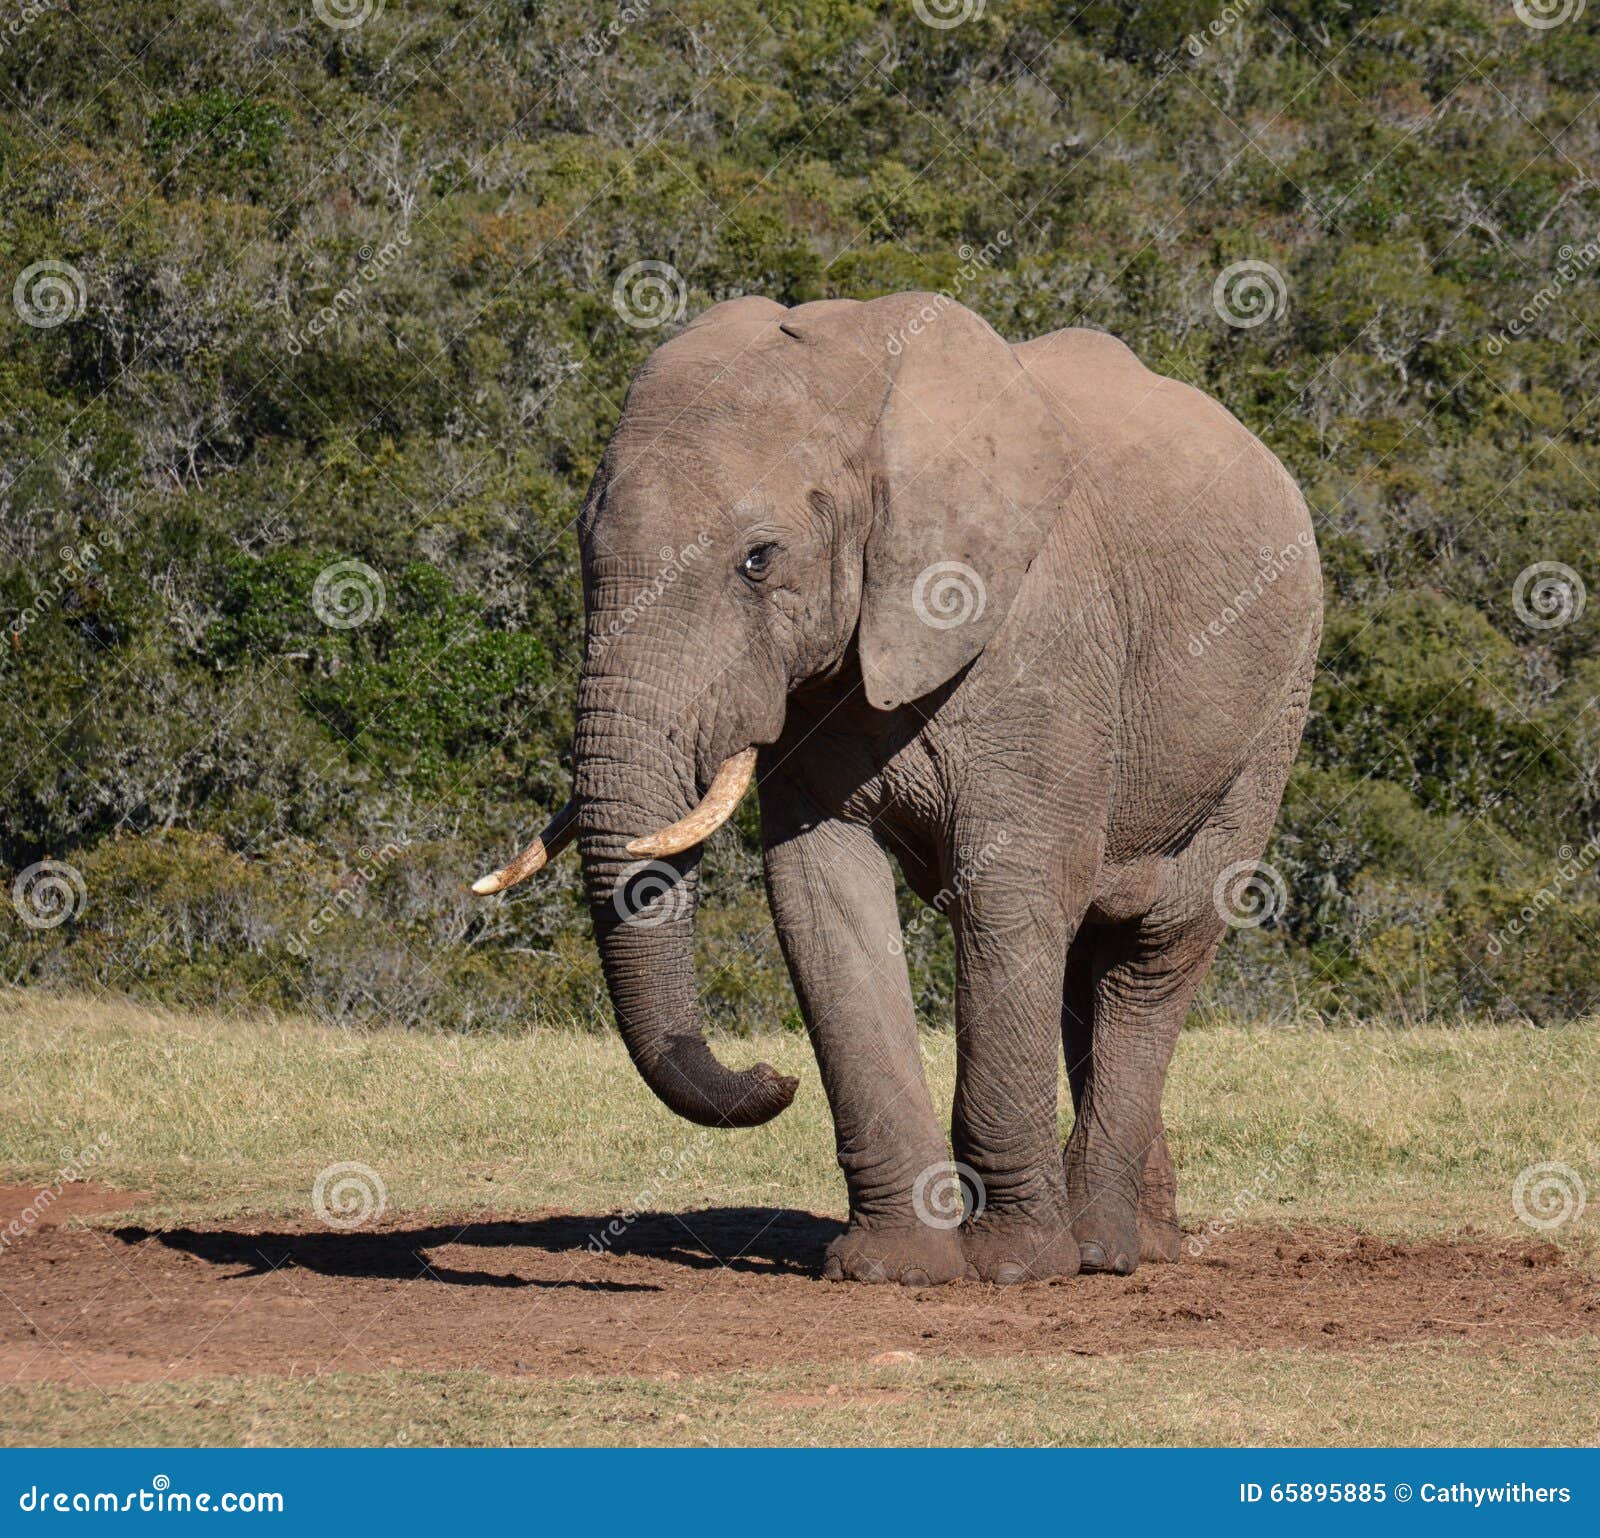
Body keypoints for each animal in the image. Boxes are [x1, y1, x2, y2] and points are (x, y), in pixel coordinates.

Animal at [473, 291, 1321, 1286]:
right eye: (581, 548)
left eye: (759, 560)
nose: (772, 1079)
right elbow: (822, 900)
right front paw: (894, 1268)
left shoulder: (1044, 645)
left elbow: (1008, 895)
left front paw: (1015, 1269)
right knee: (1091, 954)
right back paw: (1143, 1242)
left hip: (1272, 708)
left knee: (1158, 943)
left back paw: (1100, 1249)